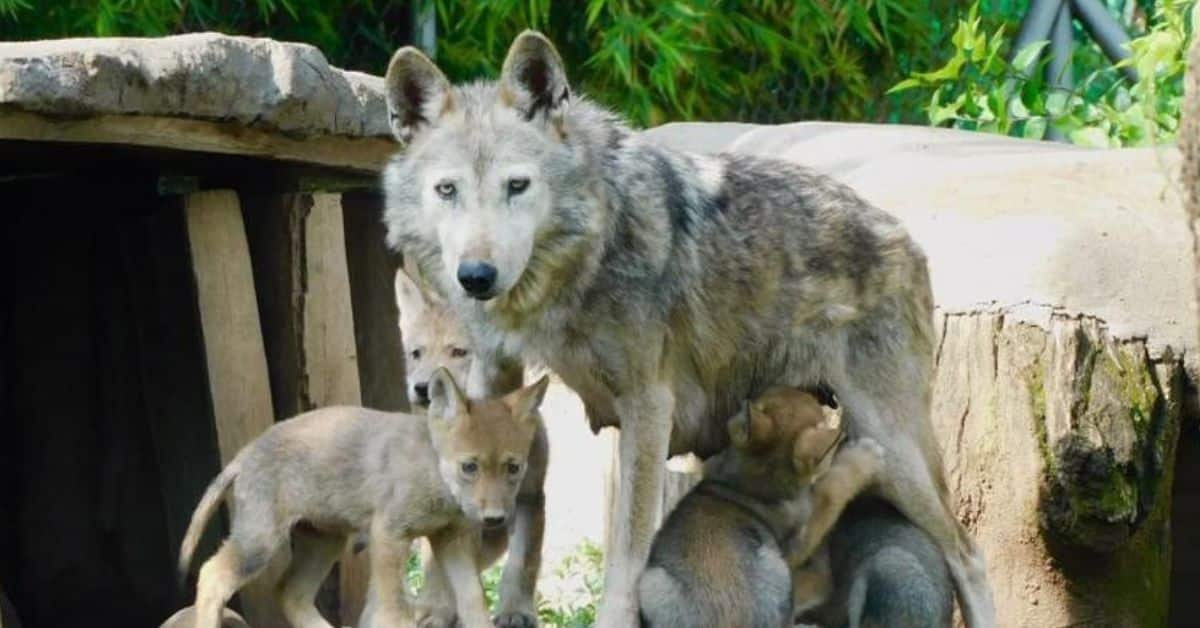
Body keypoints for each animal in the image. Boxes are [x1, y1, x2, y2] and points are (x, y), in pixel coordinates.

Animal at [177, 369, 550, 628]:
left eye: (513, 468)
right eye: (469, 467)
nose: (495, 519)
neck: (432, 474)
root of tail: (244, 454)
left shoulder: (450, 540)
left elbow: (473, 601)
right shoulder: (389, 534)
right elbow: (394, 612)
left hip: (323, 543)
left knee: (289, 594)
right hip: (260, 544)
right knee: (211, 575)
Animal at [394, 264, 547, 628]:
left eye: (458, 351)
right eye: (416, 354)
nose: (422, 388)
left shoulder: (530, 499)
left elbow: (522, 564)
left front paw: (515, 610)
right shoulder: (451, 519)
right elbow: (442, 573)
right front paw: (435, 610)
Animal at [638, 389, 882, 628]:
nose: (823, 396)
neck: (751, 485)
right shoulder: (799, 541)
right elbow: (830, 491)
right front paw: (864, 457)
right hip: (776, 566)